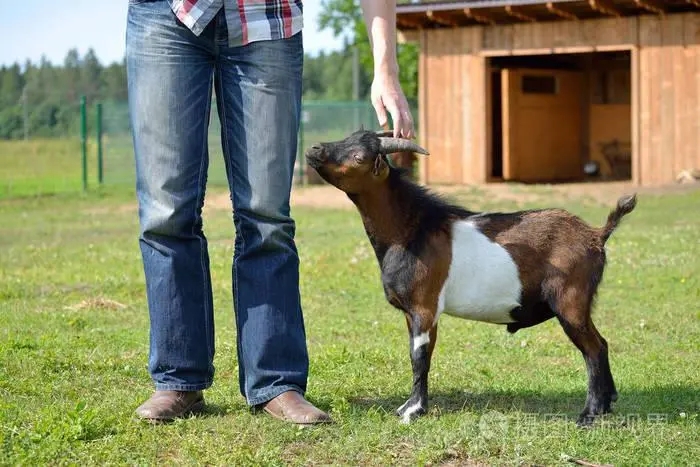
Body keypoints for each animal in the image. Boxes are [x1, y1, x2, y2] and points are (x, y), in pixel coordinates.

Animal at [305, 129, 638, 426]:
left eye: (359, 156)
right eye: (348, 137)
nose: (314, 149)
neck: (413, 231)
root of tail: (596, 235)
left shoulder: (425, 307)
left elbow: (419, 356)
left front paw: (413, 412)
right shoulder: (415, 313)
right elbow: (420, 354)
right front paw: (409, 406)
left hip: (571, 301)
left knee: (593, 349)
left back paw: (589, 414)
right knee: (602, 343)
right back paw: (608, 403)